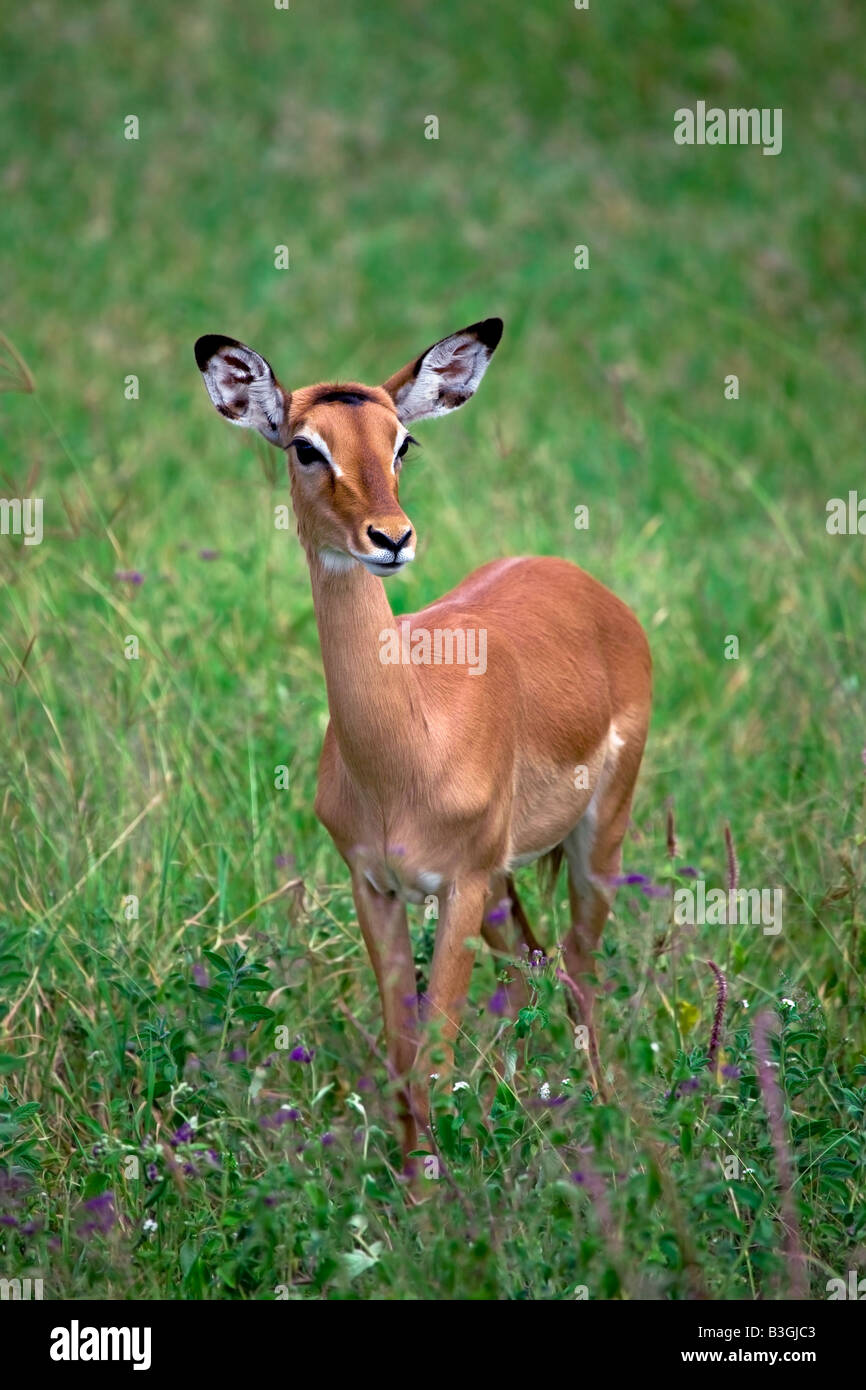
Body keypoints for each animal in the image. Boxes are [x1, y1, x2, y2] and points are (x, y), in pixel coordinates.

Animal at [195, 318, 652, 1169]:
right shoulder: (375, 884)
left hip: (596, 836)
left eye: (402, 441)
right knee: (535, 964)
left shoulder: (461, 884)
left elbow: (434, 1053)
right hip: (507, 882)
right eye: (304, 445)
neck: (405, 750)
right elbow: (405, 1052)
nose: (392, 537)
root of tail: (591, 589)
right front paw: (418, 1178)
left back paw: (604, 1118)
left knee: (579, 967)